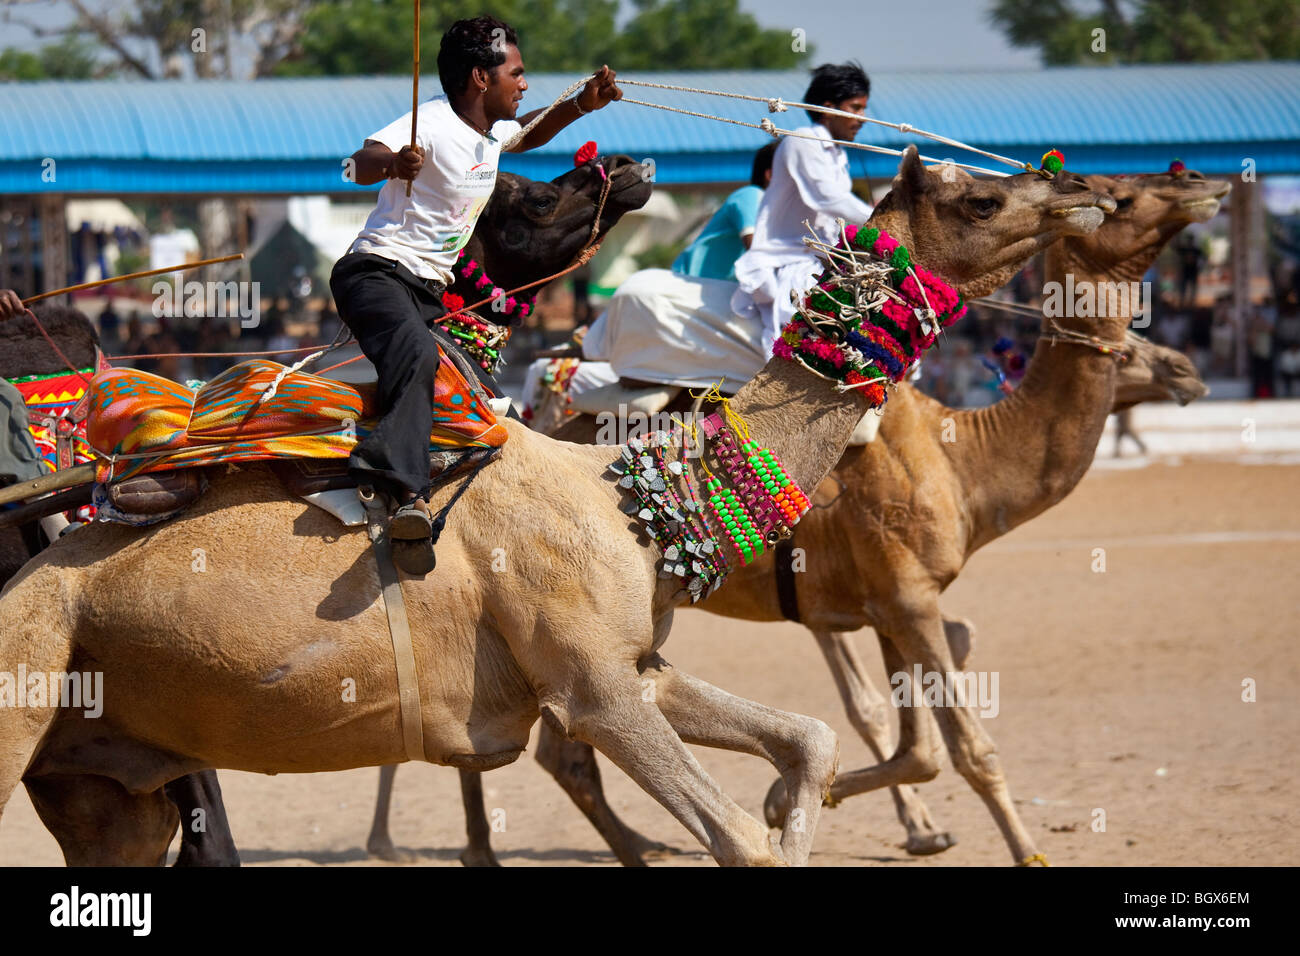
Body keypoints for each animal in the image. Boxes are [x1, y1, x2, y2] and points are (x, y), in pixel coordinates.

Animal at [0, 147, 1112, 866]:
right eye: (979, 199)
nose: (1079, 190)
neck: (637, 497)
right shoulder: (592, 684)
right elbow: (739, 837)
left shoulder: (628, 662)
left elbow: (806, 743)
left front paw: (805, 797)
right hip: (28, 681)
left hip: (102, 778)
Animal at [432, 167, 1223, 866]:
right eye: (1129, 193)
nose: (1185, 368)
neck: (962, 459)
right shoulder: (904, 598)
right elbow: (961, 746)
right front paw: (1021, 851)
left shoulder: (885, 605)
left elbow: (911, 738)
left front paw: (862, 814)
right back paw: (499, 849)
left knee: (546, 741)